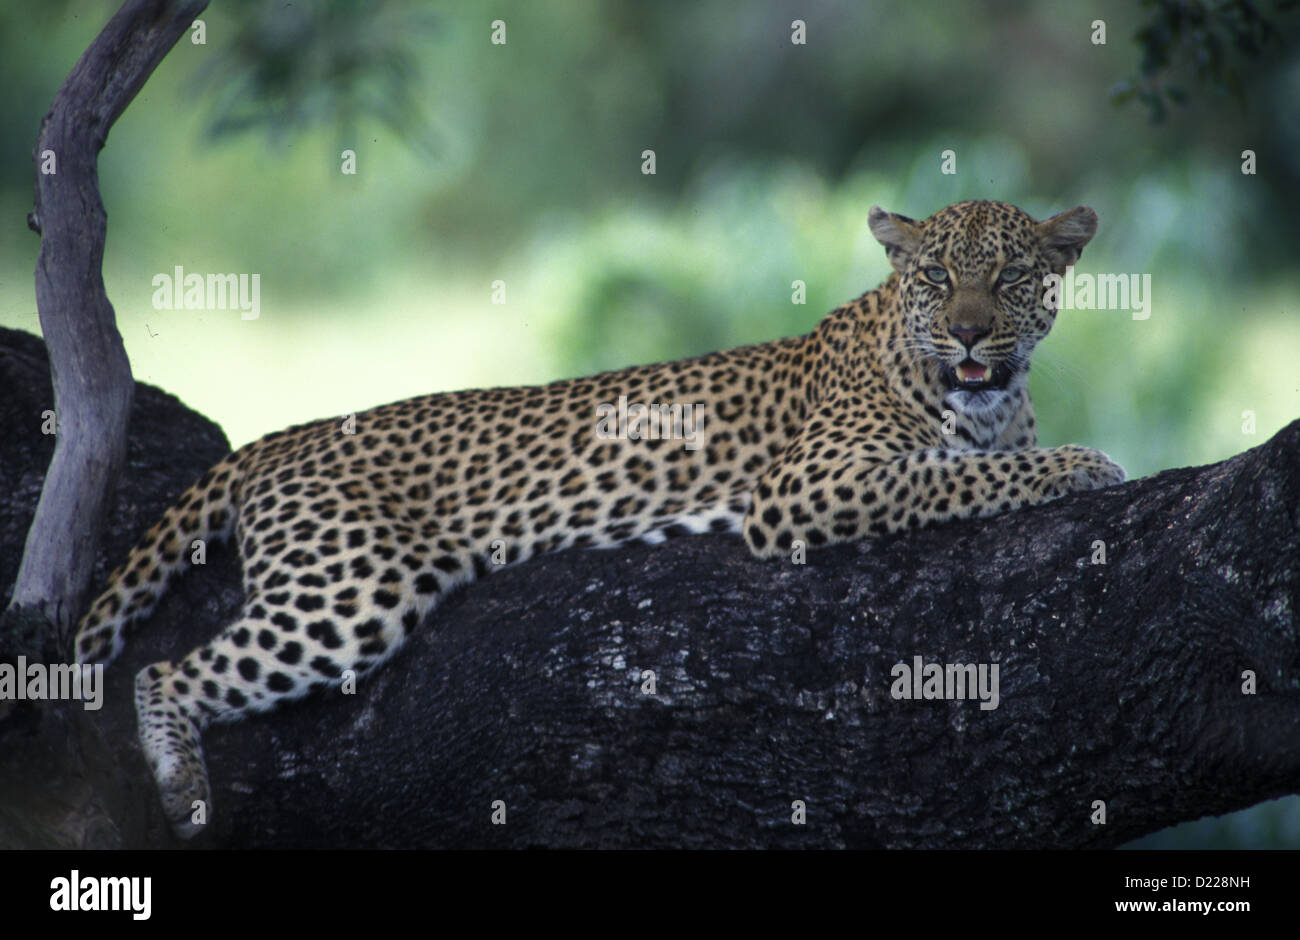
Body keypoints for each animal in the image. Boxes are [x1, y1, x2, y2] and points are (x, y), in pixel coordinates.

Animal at [74, 199, 1126, 838]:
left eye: (1011, 277)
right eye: (937, 276)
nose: (970, 333)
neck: (986, 397)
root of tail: (280, 439)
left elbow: (966, 463)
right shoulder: (806, 486)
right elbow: (952, 475)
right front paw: (1080, 465)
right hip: (351, 592)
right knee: (165, 672)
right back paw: (183, 790)